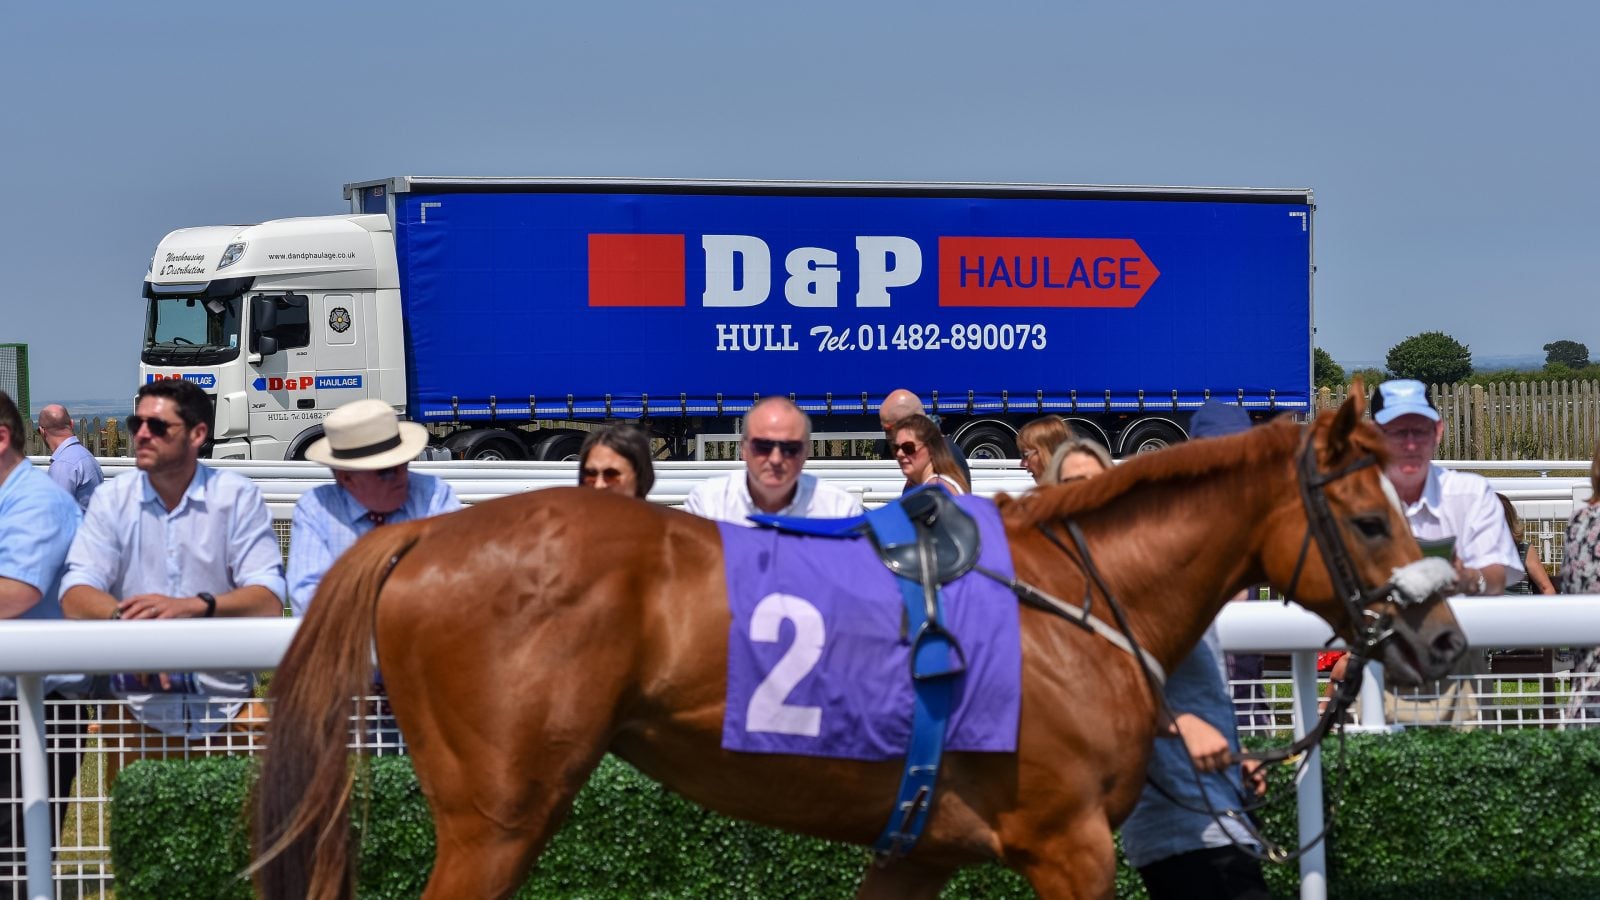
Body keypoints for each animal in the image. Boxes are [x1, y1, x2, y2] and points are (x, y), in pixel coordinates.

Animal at [253, 390, 1464, 899]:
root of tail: (418, 533)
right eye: (1370, 520)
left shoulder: (915, 851)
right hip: (499, 817)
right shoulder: (1069, 846)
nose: (1445, 636)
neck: (1073, 597)